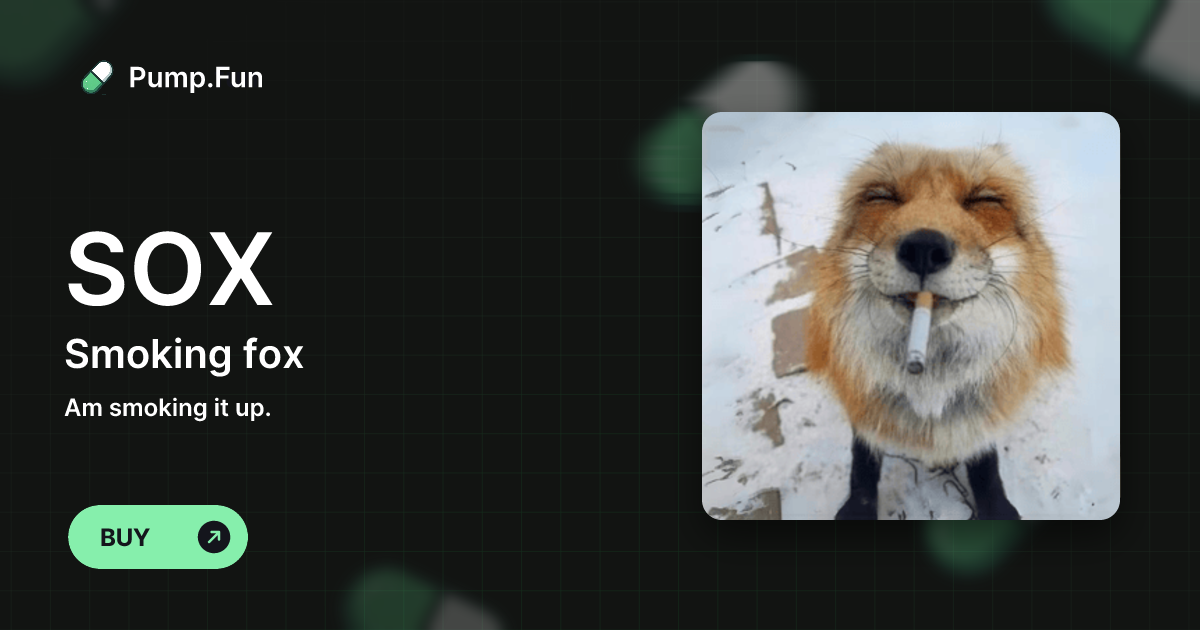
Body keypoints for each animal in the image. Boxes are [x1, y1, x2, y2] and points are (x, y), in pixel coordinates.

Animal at [804, 142, 1069, 520]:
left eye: (984, 200)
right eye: (882, 196)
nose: (924, 248)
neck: (931, 386)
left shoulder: (980, 419)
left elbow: (985, 463)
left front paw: (996, 508)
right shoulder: (864, 407)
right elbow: (863, 461)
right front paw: (858, 508)